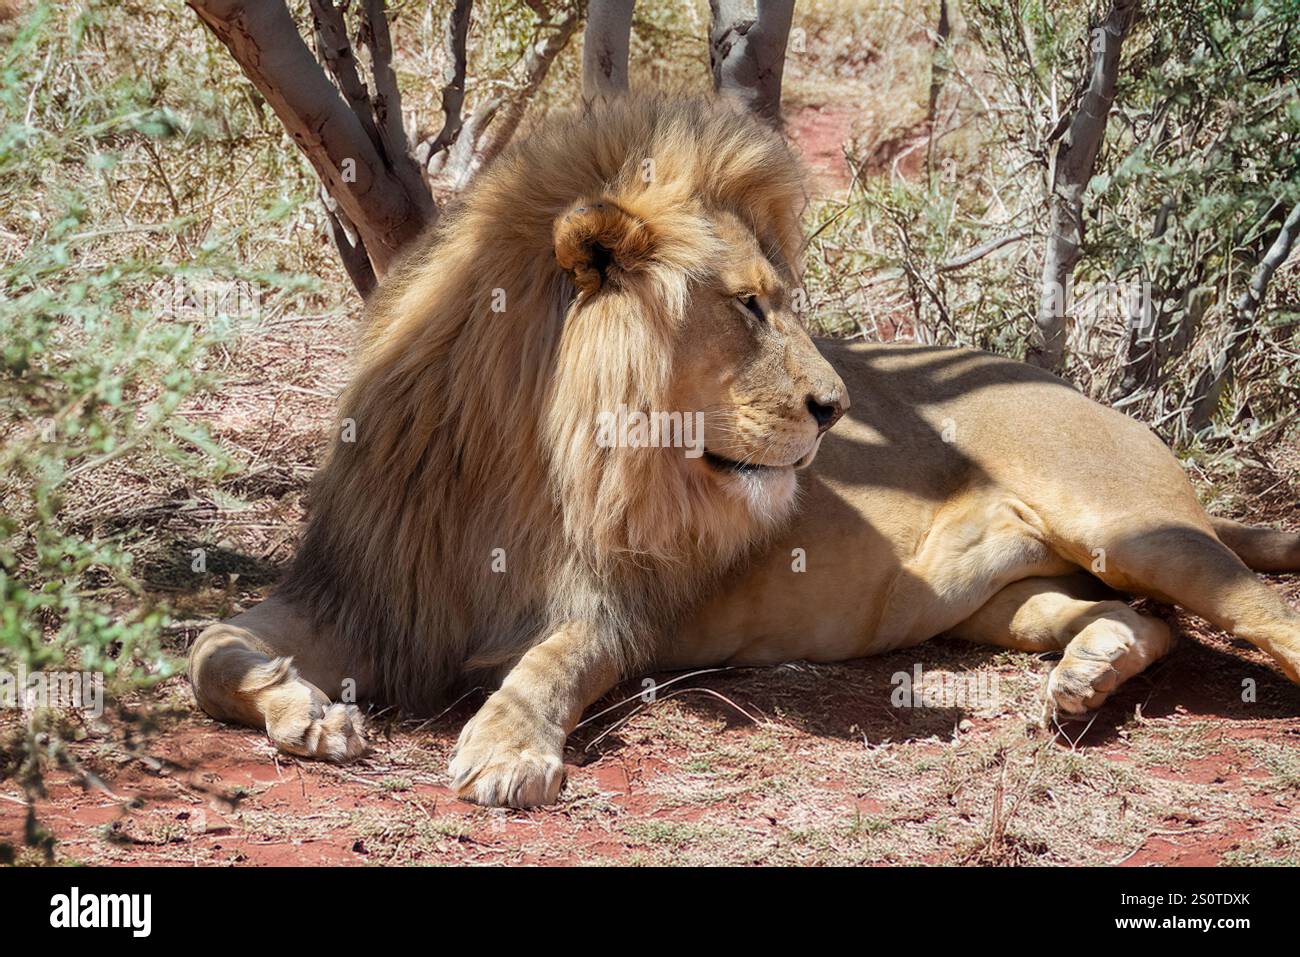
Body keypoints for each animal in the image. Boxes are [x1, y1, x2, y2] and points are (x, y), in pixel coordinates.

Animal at [190, 95, 1300, 808]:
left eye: (779, 299)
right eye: (748, 305)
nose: (837, 406)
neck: (522, 460)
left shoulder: (614, 604)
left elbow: (551, 661)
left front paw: (507, 748)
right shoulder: (362, 590)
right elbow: (211, 651)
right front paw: (308, 714)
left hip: (1126, 523)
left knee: (1255, 609)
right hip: (1006, 602)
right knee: (1139, 622)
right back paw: (1084, 678)